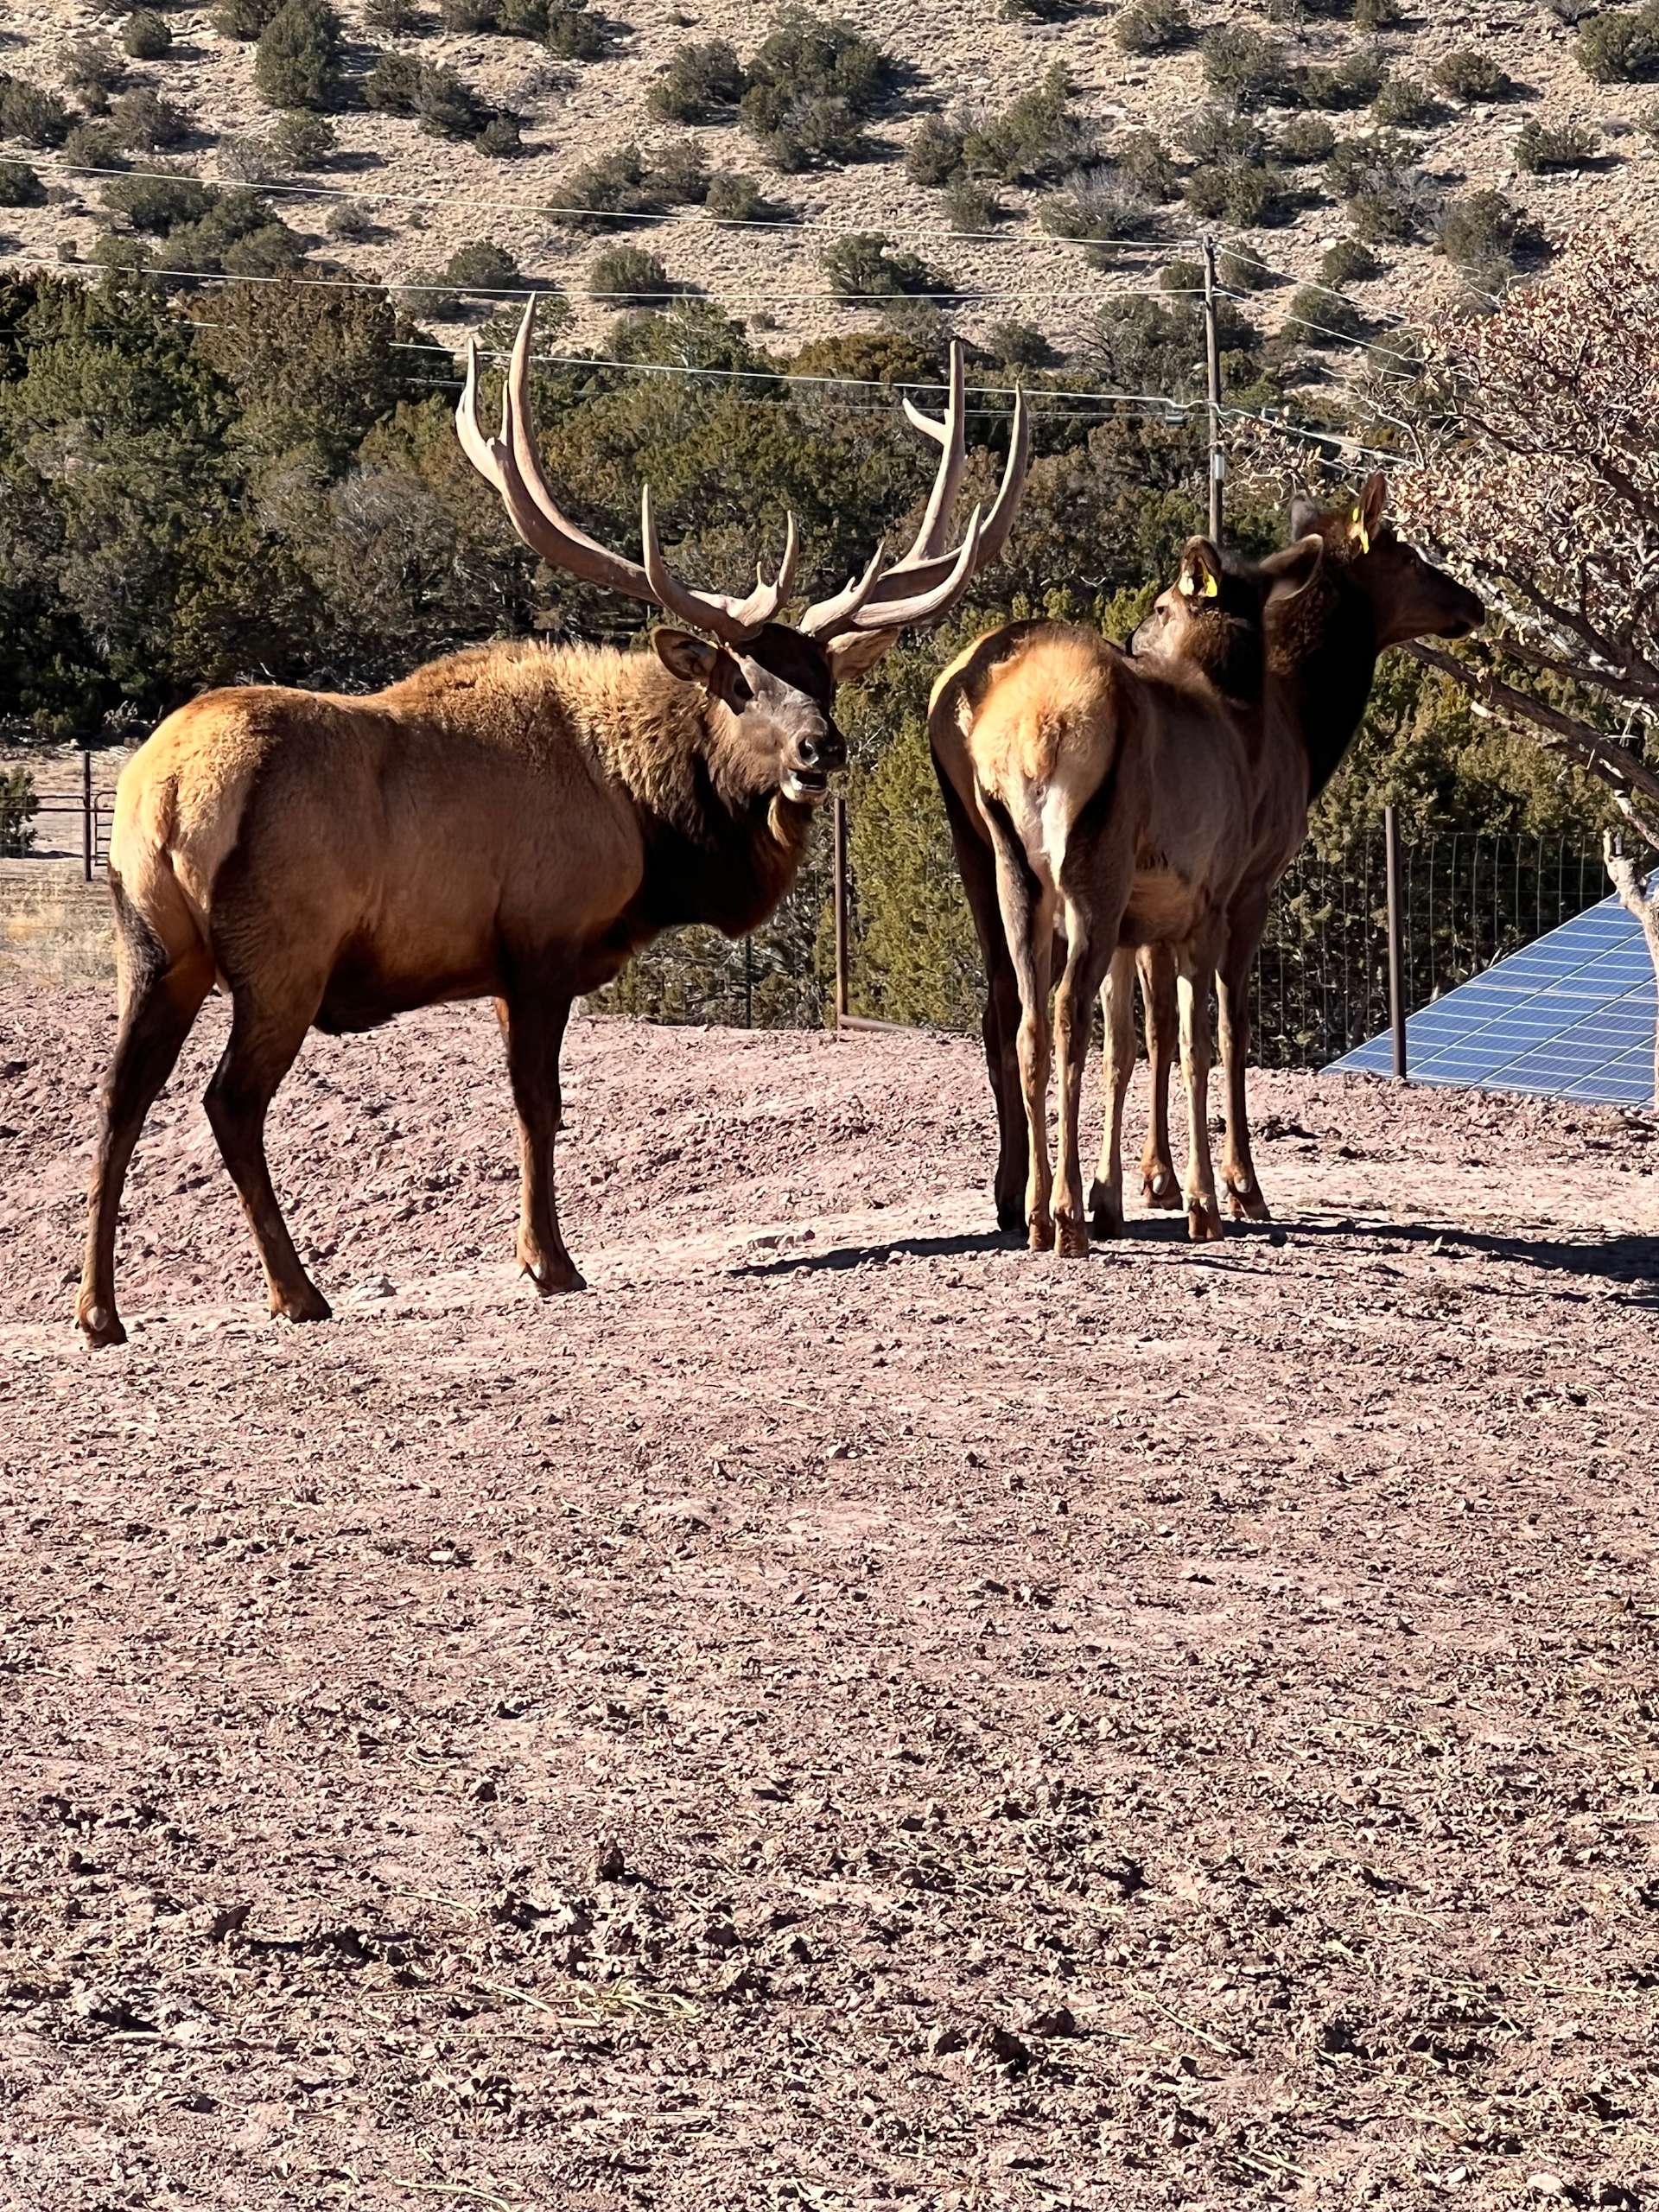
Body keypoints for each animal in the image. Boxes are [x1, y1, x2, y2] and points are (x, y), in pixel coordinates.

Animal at [76, 311, 1030, 1346]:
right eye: (740, 682)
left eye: (823, 676)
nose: (822, 748)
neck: (646, 820)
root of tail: (165, 796)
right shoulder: (540, 939)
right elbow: (540, 1103)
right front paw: (550, 1261)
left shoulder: (499, 963)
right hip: (281, 952)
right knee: (228, 1101)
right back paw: (296, 1290)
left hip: (153, 944)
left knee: (121, 1093)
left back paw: (100, 1310)